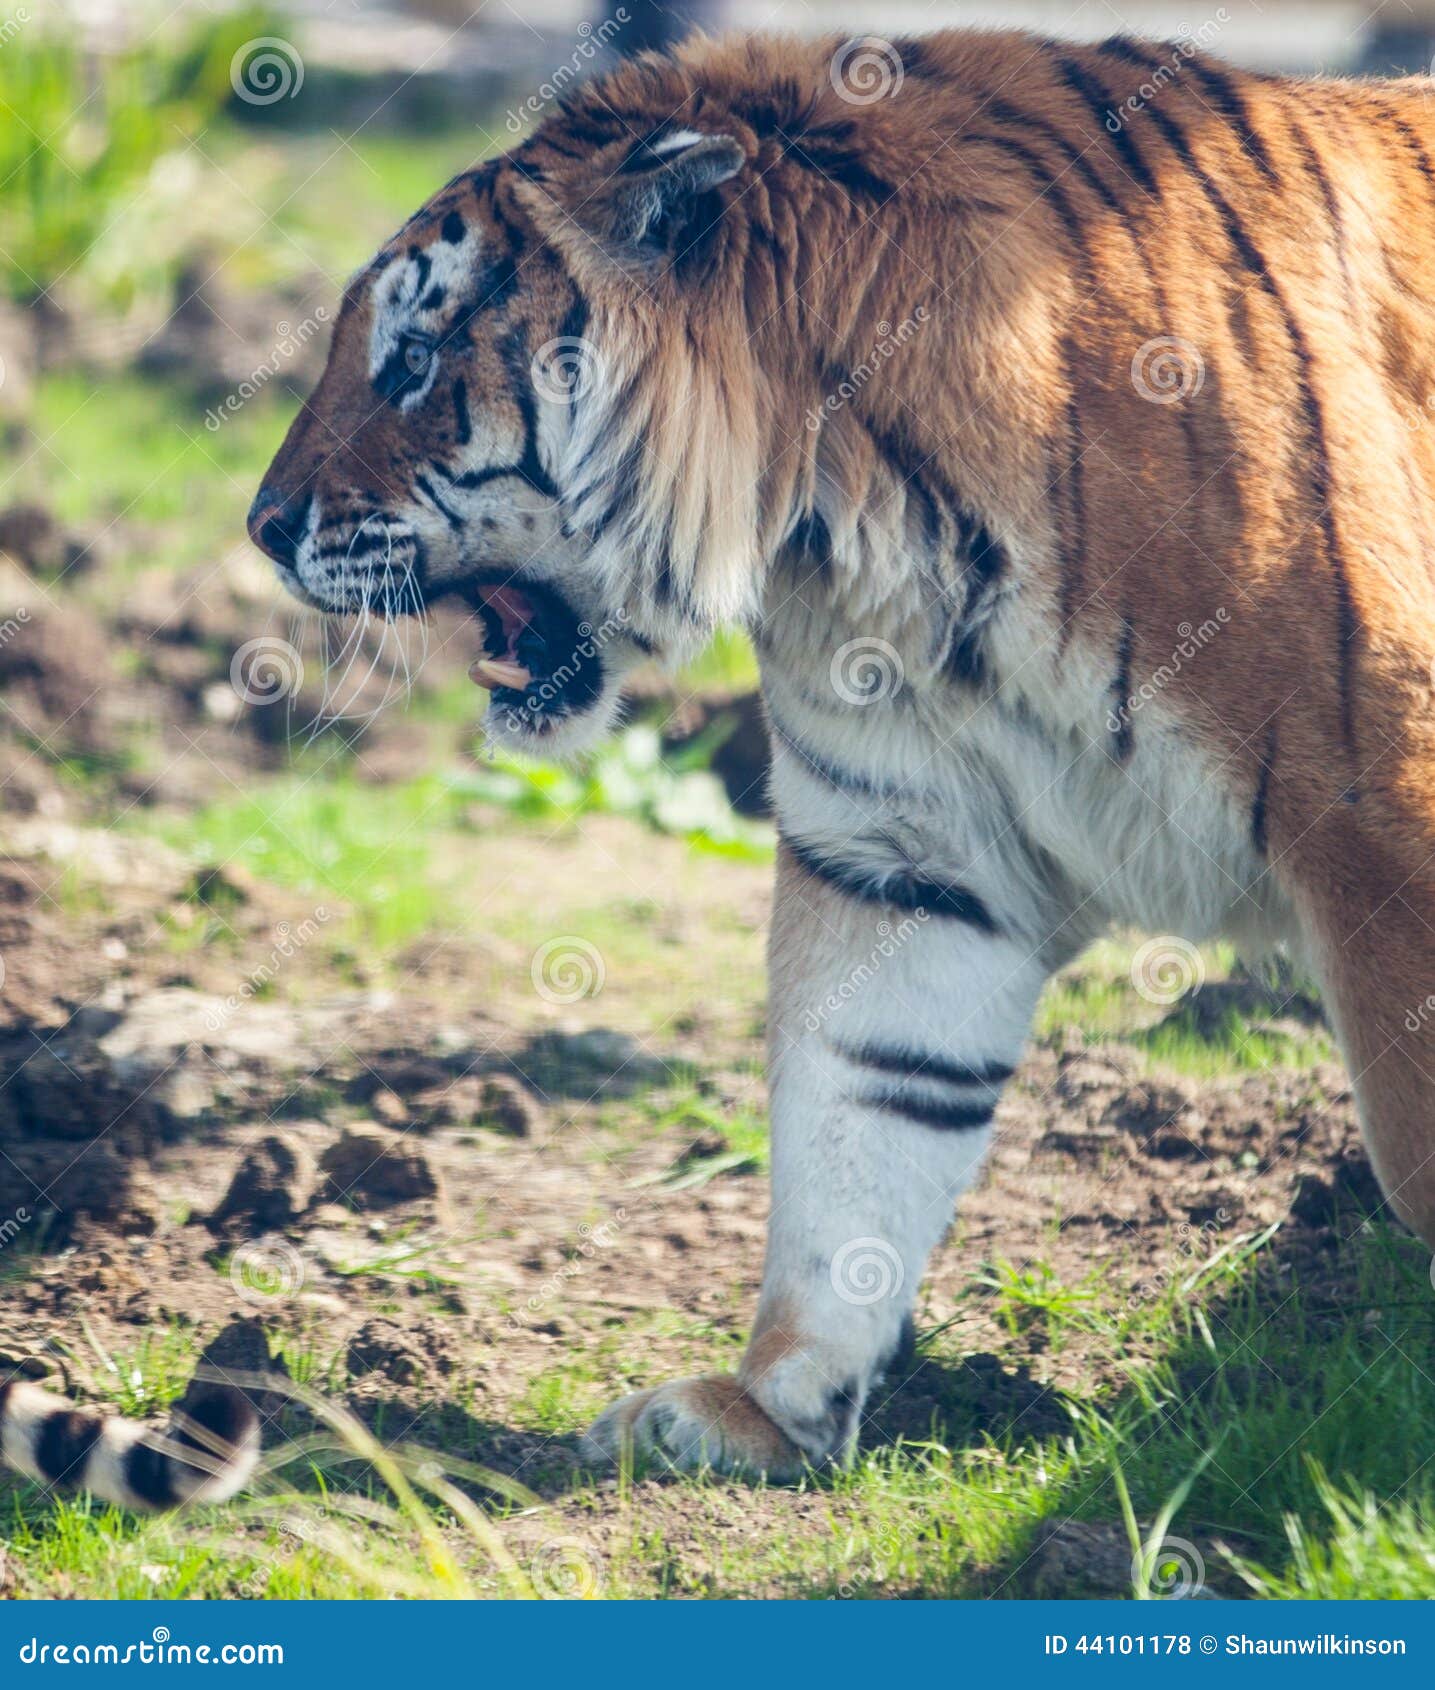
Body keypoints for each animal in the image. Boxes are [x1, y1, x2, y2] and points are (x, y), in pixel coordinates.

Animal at [246, 26, 1435, 1481]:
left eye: (412, 357)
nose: (261, 524)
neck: (866, 510)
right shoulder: (904, 859)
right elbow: (857, 1116)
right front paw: (767, 1403)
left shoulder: (1381, 815)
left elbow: (1413, 1144)